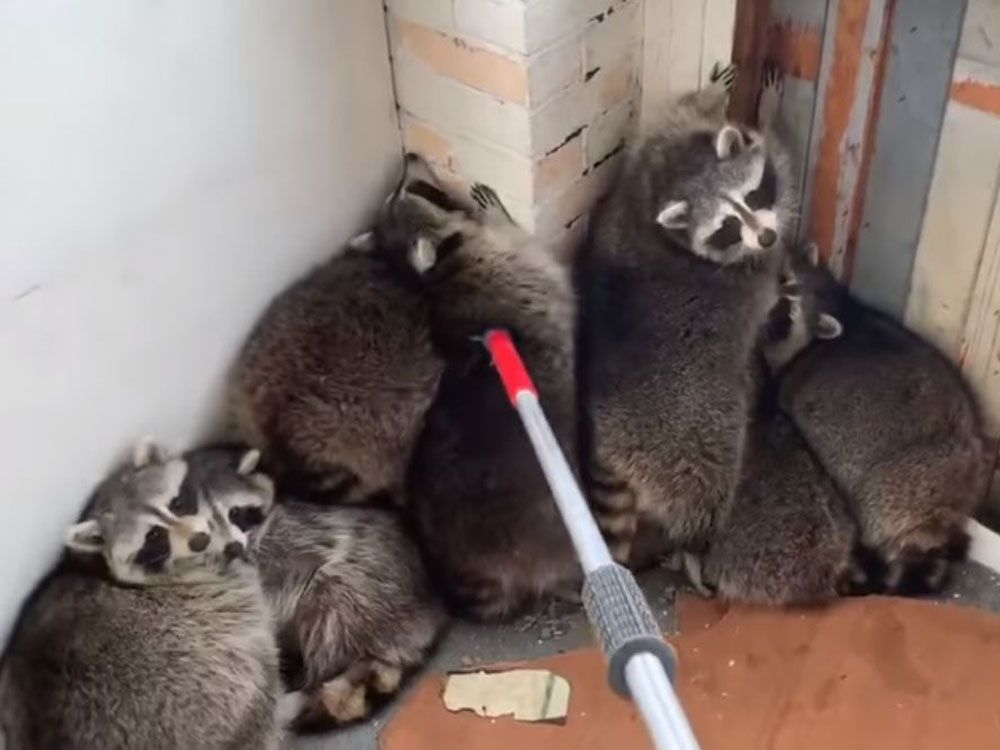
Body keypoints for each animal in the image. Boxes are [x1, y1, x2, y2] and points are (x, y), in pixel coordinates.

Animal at [380, 154, 579, 620]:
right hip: (546, 525)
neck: (437, 270)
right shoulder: (512, 264)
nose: (409, 157)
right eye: (409, 190)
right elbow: (530, 249)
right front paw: (498, 212)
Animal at [577, 66, 793, 563]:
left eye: (752, 195)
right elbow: (784, 158)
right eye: (727, 227)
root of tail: (607, 441)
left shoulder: (649, 154)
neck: (681, 174)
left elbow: (680, 111)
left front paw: (717, 96)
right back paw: (698, 543)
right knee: (703, 489)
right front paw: (773, 116)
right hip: (691, 441)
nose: (766, 238)